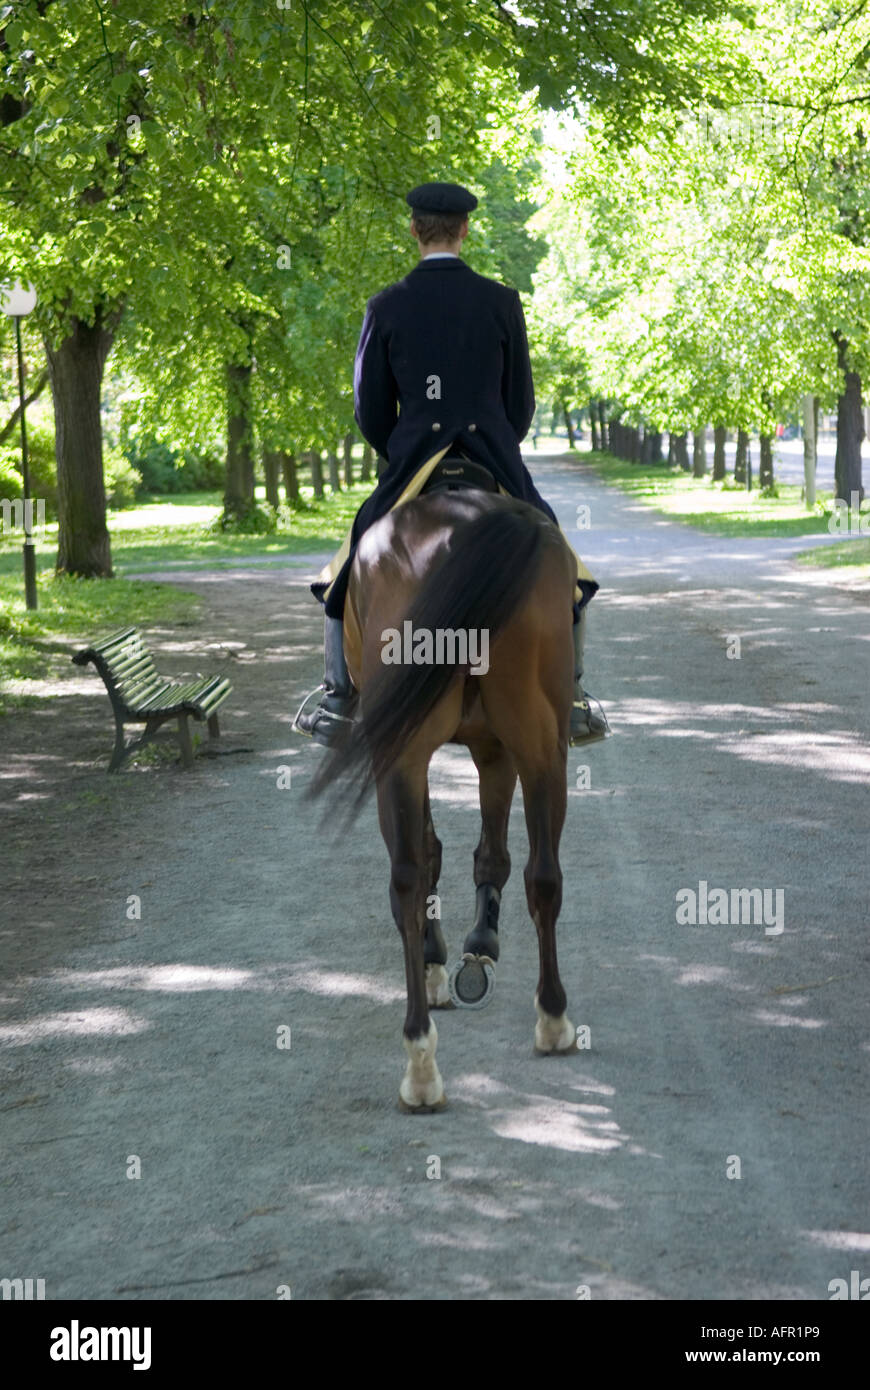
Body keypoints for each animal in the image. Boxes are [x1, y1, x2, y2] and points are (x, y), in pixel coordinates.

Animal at [309, 483, 579, 1111]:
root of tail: (462, 525)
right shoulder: (494, 748)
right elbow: (485, 855)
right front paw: (472, 951)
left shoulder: (472, 748)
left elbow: (451, 854)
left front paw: (455, 957)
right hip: (536, 742)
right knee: (541, 874)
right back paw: (545, 1020)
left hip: (416, 751)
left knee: (411, 878)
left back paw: (424, 1057)